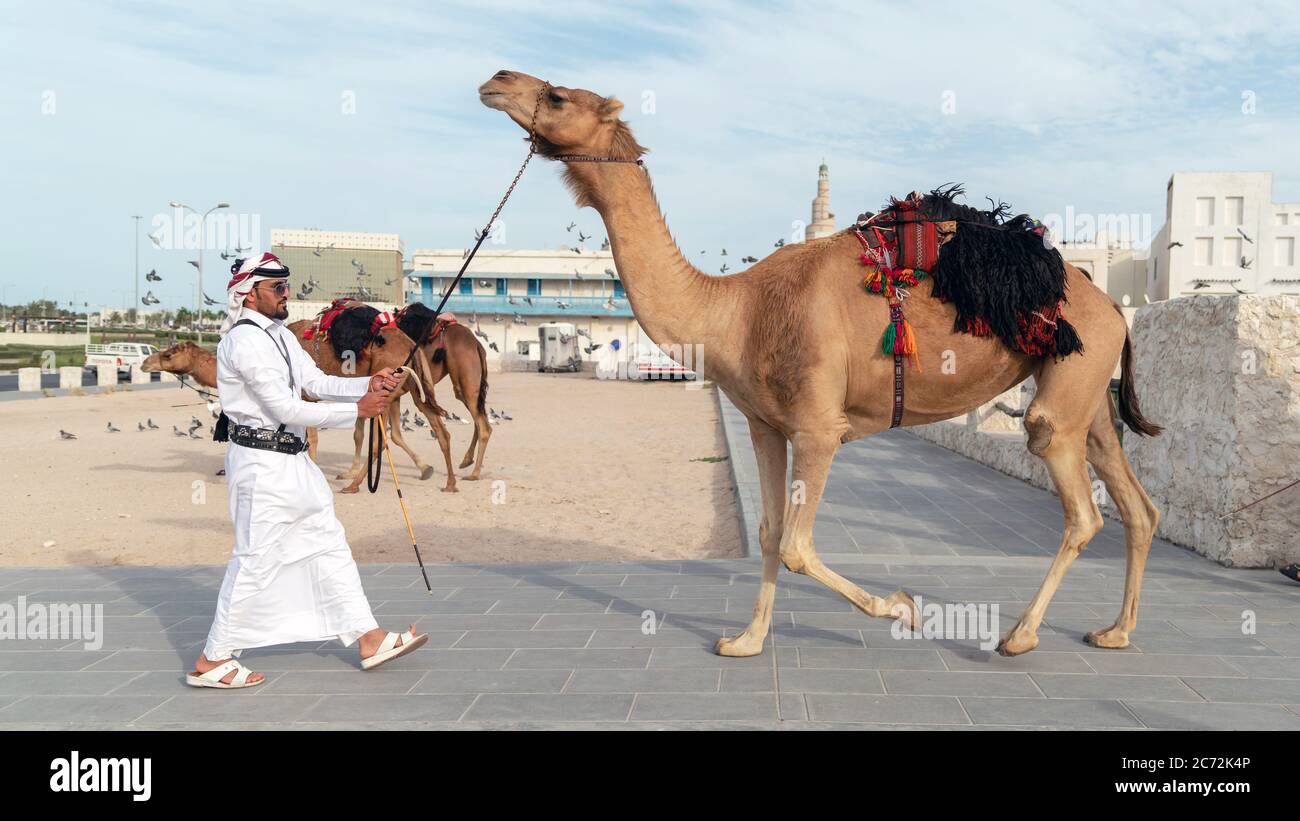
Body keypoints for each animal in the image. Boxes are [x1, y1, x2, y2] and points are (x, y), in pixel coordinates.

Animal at [480, 70, 1163, 658]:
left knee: (1078, 501)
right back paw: (1116, 631)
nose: (495, 81)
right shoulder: (764, 424)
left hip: (1068, 382)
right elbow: (768, 533)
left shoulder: (817, 427)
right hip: (1087, 389)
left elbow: (797, 547)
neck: (733, 313)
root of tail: (1112, 307)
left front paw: (900, 607)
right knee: (1136, 502)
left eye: (559, 96)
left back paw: (1019, 636)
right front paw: (746, 641)